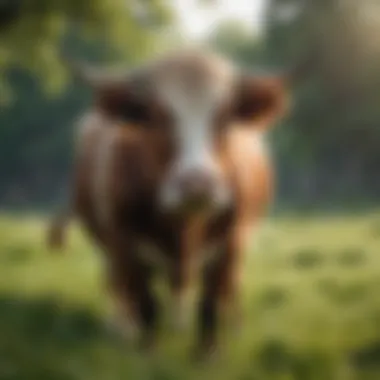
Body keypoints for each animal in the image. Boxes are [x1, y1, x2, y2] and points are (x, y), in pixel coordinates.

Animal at [47, 49, 308, 360]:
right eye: (154, 115)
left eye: (224, 117)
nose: (196, 184)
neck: (185, 227)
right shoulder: (124, 242)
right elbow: (146, 303)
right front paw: (147, 351)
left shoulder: (231, 241)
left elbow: (210, 302)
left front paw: (209, 354)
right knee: (116, 283)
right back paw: (123, 328)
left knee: (229, 285)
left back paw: (229, 325)